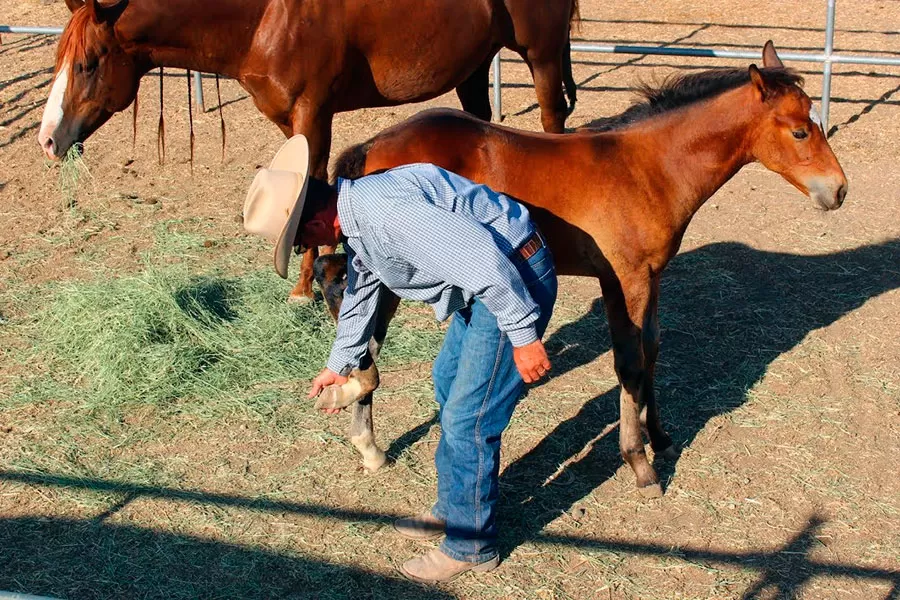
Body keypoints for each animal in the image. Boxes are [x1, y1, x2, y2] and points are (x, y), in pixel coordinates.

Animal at [37, 0, 576, 300]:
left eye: (88, 62)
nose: (48, 139)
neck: (264, 17)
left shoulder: (313, 115)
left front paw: (303, 287)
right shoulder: (289, 122)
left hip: (542, 55)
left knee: (553, 122)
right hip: (475, 66)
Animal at [308, 44, 844, 500]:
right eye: (800, 131)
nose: (838, 190)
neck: (648, 169)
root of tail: (373, 144)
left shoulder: (649, 277)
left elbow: (652, 350)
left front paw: (661, 436)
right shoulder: (625, 278)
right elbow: (629, 363)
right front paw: (640, 464)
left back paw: (368, 439)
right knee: (339, 282)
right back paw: (361, 397)